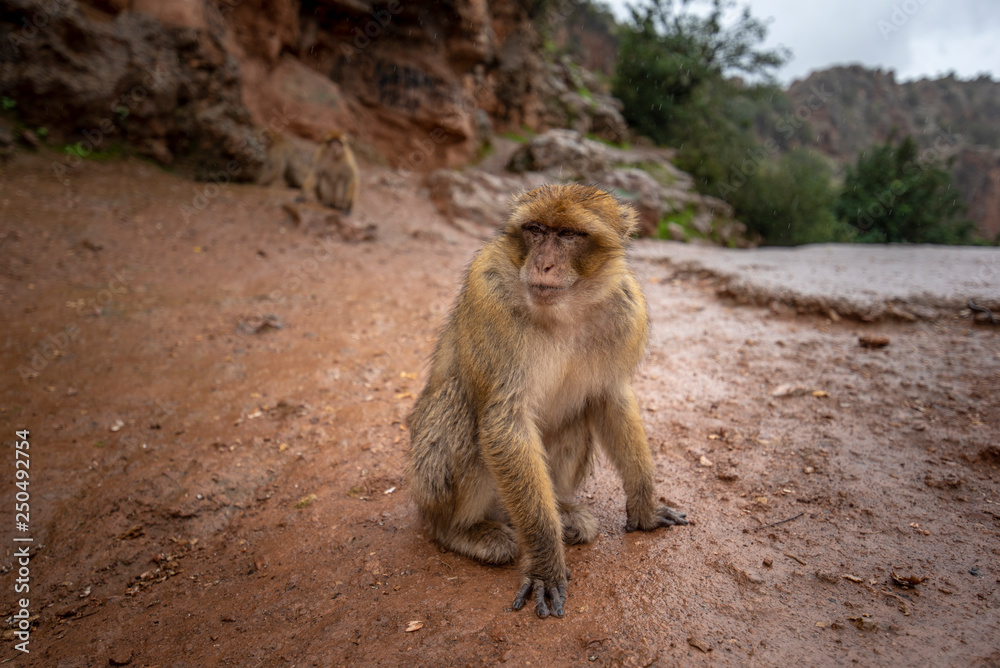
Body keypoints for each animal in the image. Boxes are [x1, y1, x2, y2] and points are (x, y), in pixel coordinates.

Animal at [407, 183, 688, 619]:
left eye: (569, 234)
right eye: (536, 230)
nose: (544, 265)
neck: (566, 310)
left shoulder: (627, 309)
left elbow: (610, 398)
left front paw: (644, 507)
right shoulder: (487, 292)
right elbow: (504, 419)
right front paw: (544, 563)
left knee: (575, 421)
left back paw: (564, 512)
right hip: (428, 484)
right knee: (462, 407)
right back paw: (461, 530)